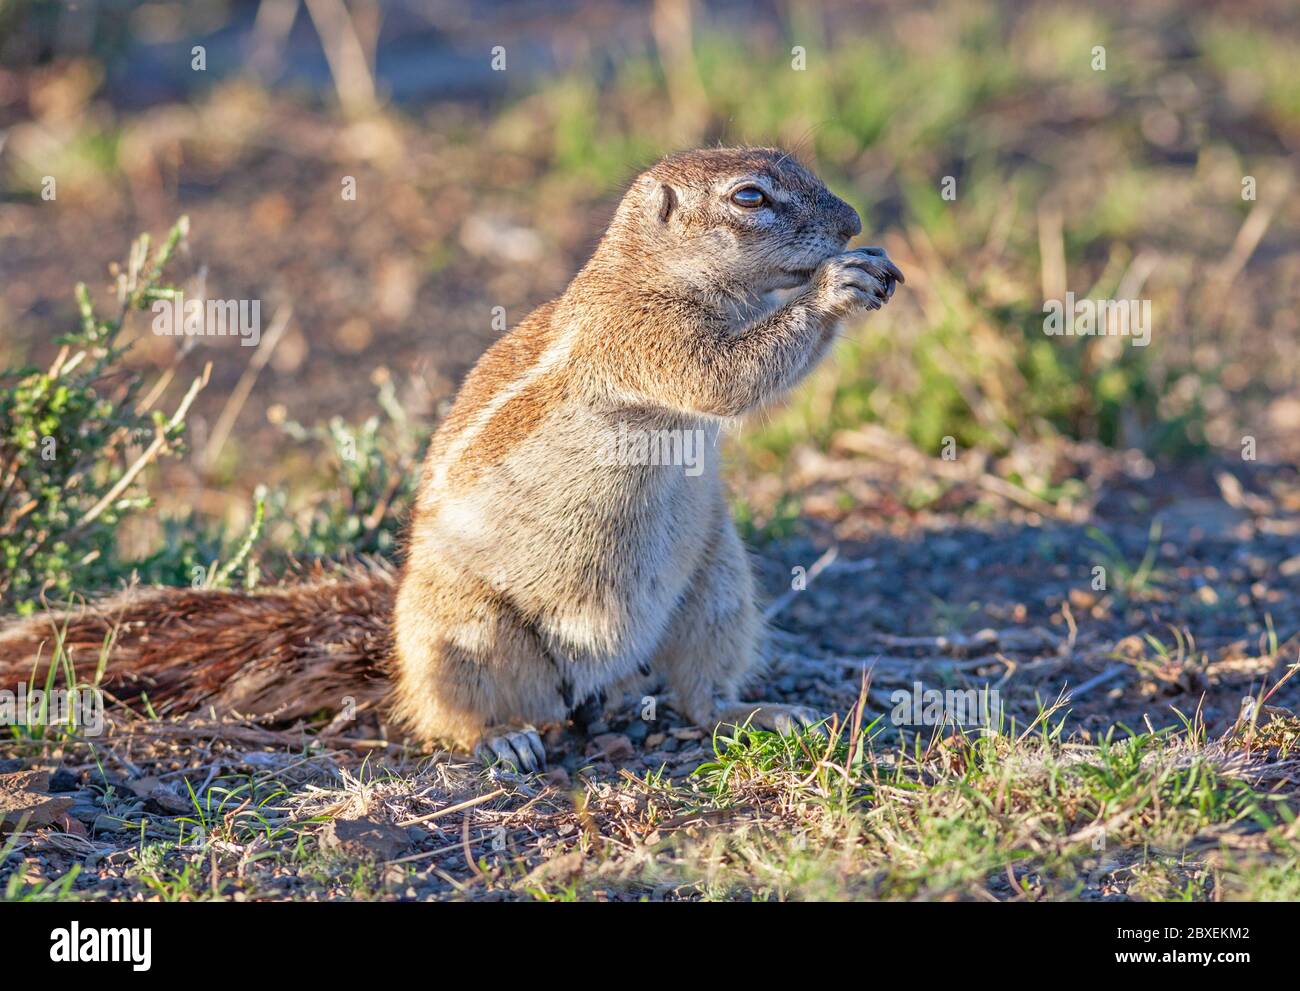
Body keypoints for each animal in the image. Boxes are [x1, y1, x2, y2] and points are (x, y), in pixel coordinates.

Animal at [0, 147, 902, 769]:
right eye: (752, 196)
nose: (856, 224)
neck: (646, 273)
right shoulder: (640, 336)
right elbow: (724, 376)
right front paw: (834, 287)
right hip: (472, 635)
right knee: (456, 719)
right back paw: (502, 741)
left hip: (718, 583)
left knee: (697, 693)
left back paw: (759, 713)